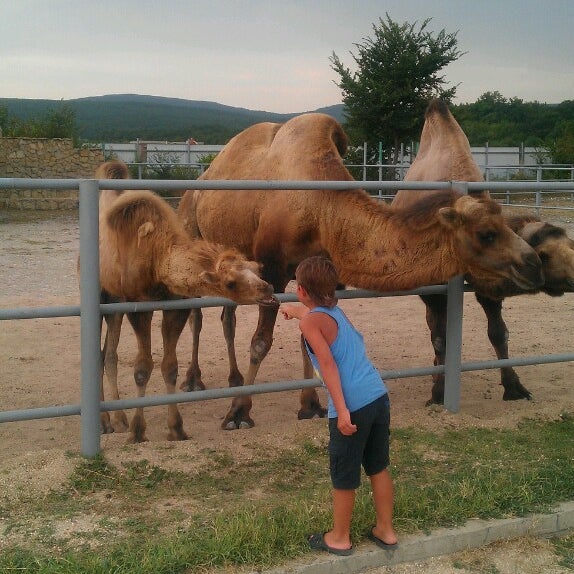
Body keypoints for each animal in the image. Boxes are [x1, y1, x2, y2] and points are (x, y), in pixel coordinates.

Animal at [94, 160, 276, 444]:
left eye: (255, 270)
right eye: (230, 283)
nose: (267, 289)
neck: (157, 257)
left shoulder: (175, 306)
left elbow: (170, 367)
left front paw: (176, 429)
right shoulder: (137, 306)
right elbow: (142, 368)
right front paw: (138, 431)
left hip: (114, 303)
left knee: (108, 354)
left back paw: (118, 420)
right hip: (103, 296)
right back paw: (107, 422)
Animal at [176, 113, 544, 432]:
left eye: (506, 223)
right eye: (487, 233)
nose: (533, 262)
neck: (322, 211)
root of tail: (200, 183)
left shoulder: (322, 273)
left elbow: (310, 333)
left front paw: (310, 405)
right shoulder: (273, 269)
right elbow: (261, 342)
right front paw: (238, 413)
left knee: (226, 315)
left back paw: (234, 378)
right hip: (194, 232)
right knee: (197, 312)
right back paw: (193, 379)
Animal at [394, 99, 574, 404]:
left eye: (571, 243)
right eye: (545, 254)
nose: (531, 266)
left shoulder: (487, 281)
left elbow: (498, 333)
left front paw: (514, 387)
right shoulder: (432, 286)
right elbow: (441, 337)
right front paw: (438, 393)